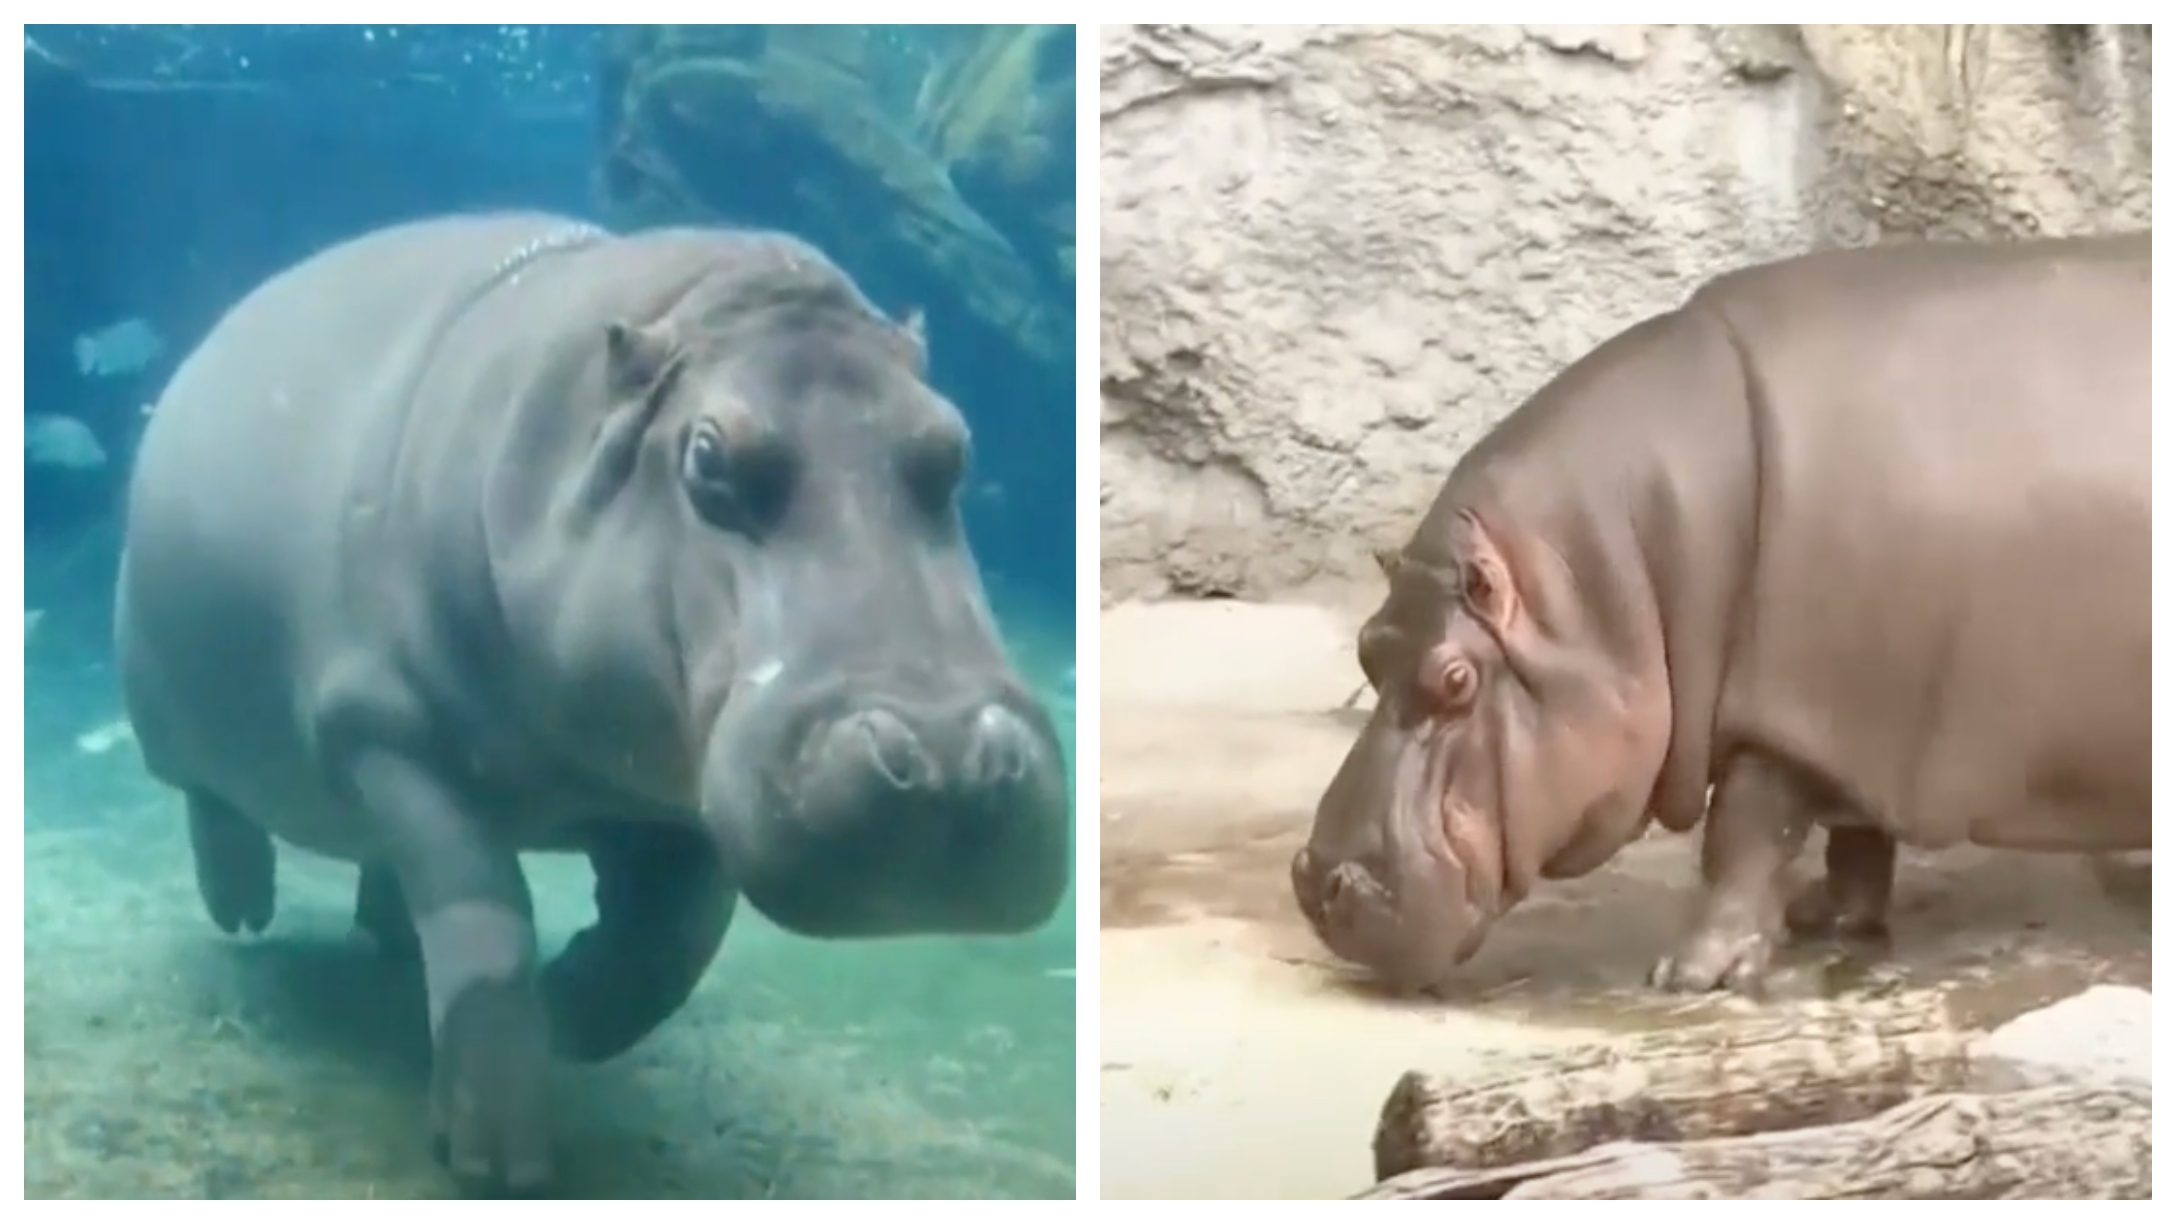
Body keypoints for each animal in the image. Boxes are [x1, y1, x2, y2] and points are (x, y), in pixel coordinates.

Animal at [115, 213, 1072, 1191]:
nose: (952, 763)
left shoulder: (689, 784)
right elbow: (484, 916)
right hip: (169, 707)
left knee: (382, 868)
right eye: (707, 455)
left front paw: (573, 1009)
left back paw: (387, 941)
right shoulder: (389, 735)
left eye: (953, 446)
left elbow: (674, 942)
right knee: (215, 805)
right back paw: (243, 910)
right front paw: (497, 1160)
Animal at [1292, 233, 2149, 999]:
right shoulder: (1849, 719)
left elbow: (1741, 837)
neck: (1616, 575)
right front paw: (1823, 919)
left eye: (1458, 679)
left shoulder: (1789, 714)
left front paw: (1688, 976)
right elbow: (1854, 837)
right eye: (1367, 648)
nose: (1314, 880)